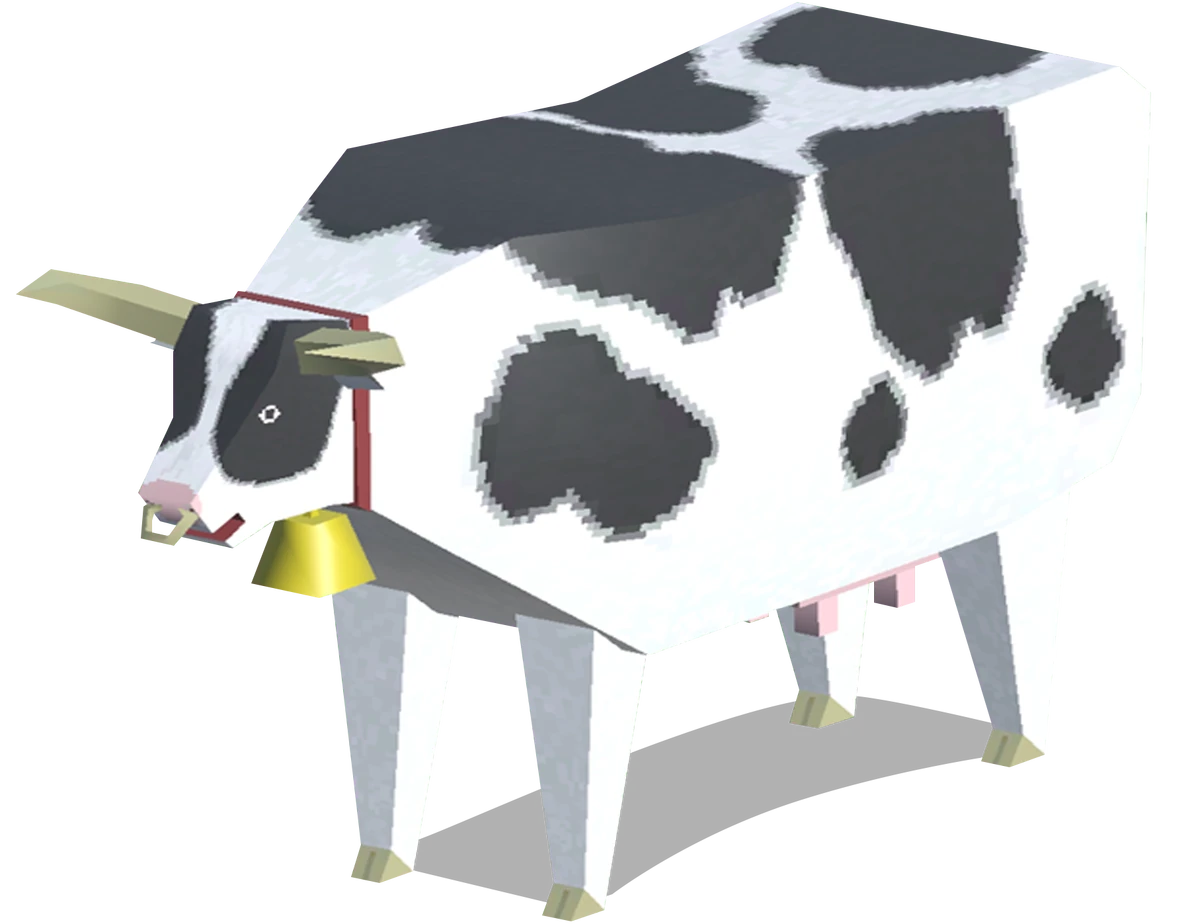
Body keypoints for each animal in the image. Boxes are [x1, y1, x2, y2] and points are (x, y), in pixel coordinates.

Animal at [15, 4, 1149, 921]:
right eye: (176, 393)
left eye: (276, 409)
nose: (162, 504)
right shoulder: (391, 582)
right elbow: (384, 730)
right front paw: (377, 870)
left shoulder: (593, 603)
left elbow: (578, 750)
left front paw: (572, 900)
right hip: (845, 504)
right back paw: (821, 707)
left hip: (1034, 475)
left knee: (1015, 596)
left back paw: (1015, 746)